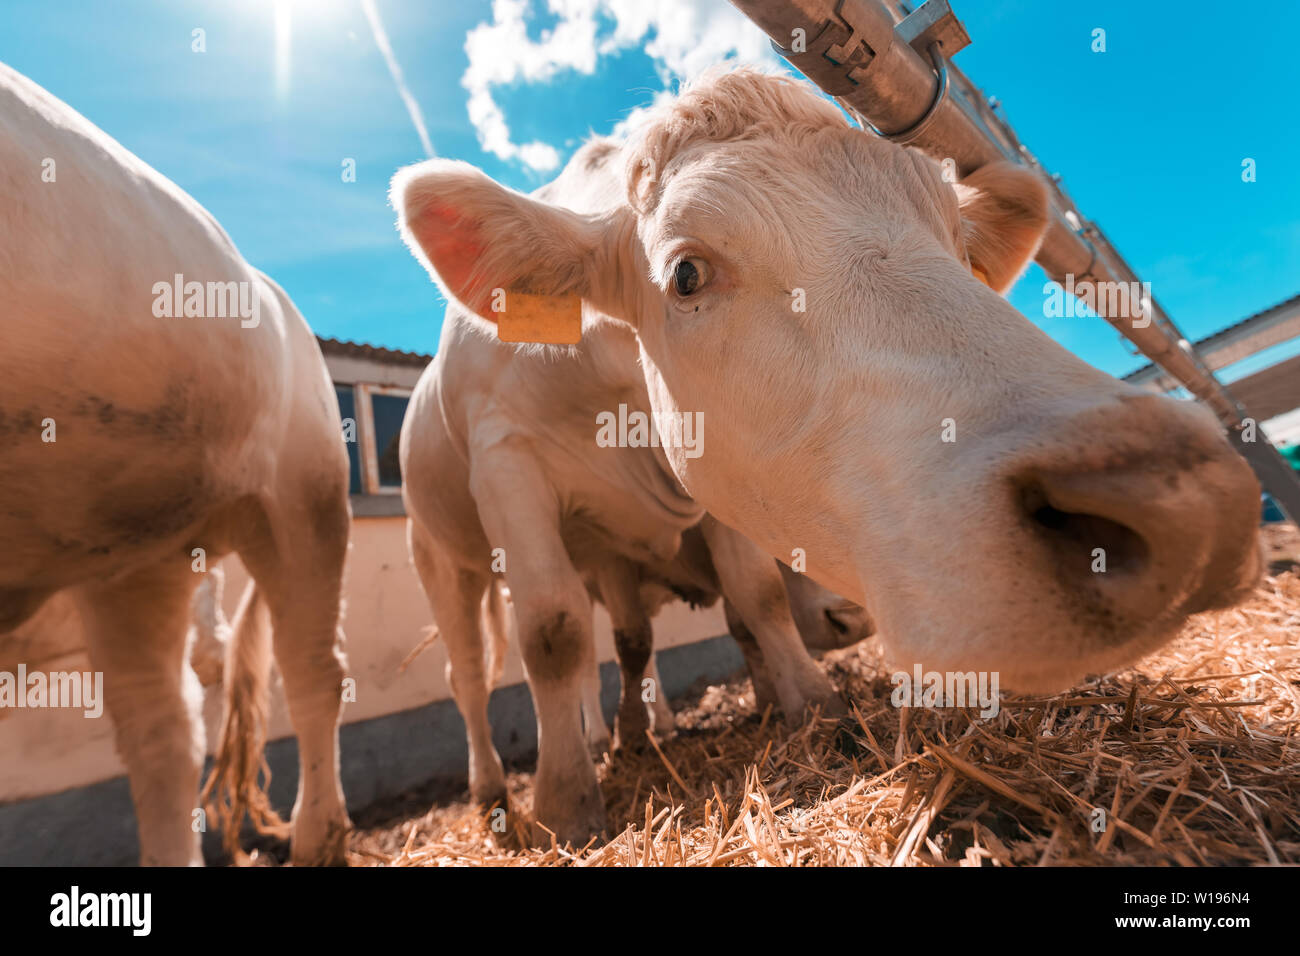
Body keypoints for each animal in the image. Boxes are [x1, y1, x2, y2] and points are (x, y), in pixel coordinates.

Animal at [392, 68, 1261, 845]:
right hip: (441, 557)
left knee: (632, 644)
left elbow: (756, 596)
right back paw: (494, 789)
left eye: (958, 245)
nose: (1189, 501)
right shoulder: (506, 459)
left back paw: (634, 736)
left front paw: (812, 708)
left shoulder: (714, 484)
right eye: (685, 274)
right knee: (471, 674)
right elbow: (553, 632)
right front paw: (566, 807)